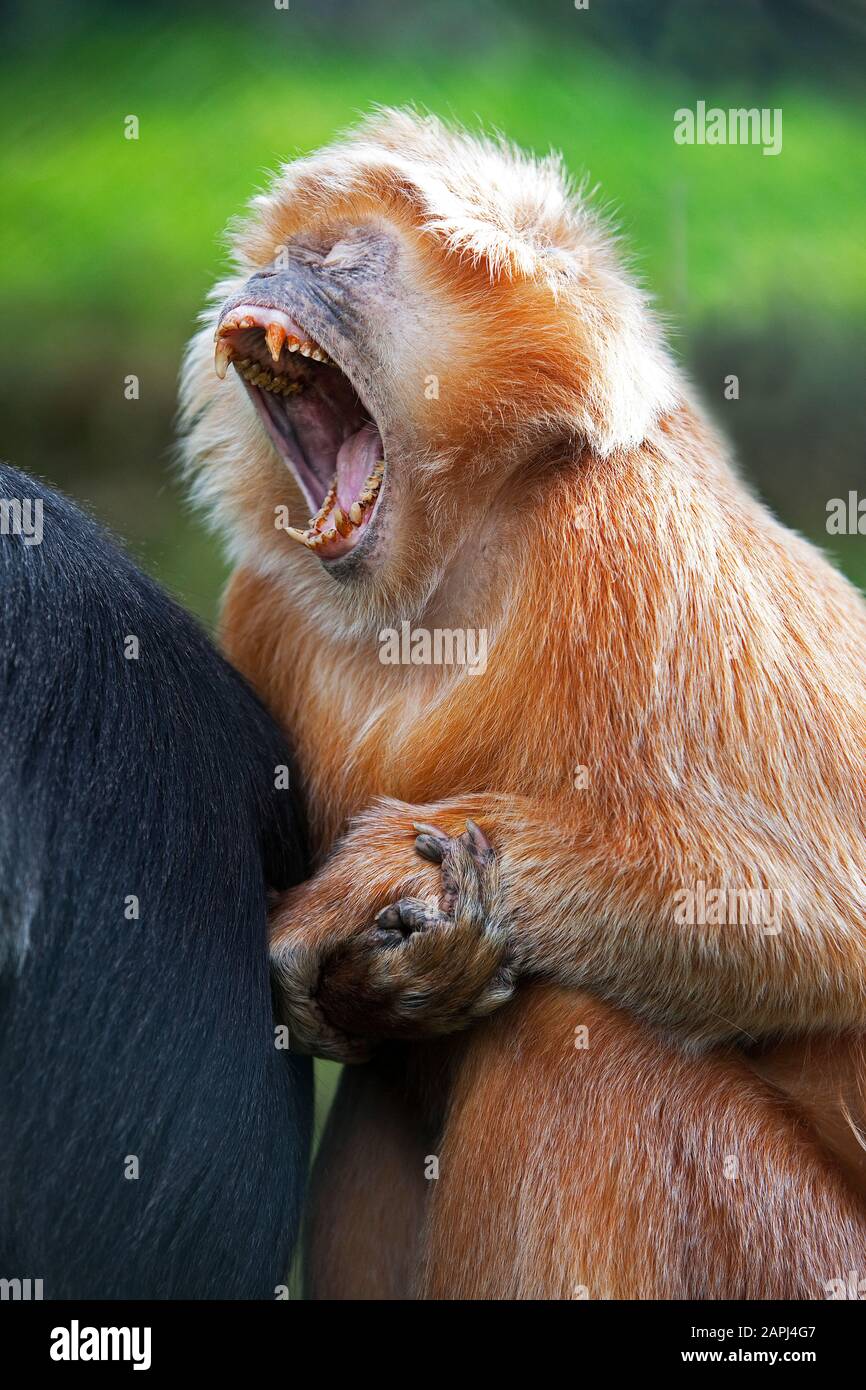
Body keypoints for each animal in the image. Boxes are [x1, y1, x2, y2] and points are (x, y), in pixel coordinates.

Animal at [181, 109, 866, 1298]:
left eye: (342, 262)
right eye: (287, 257)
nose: (272, 278)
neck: (434, 581)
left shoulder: (627, 527)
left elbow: (835, 922)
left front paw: (370, 882)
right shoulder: (264, 603)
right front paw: (387, 979)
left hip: (795, 1250)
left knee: (566, 1034)